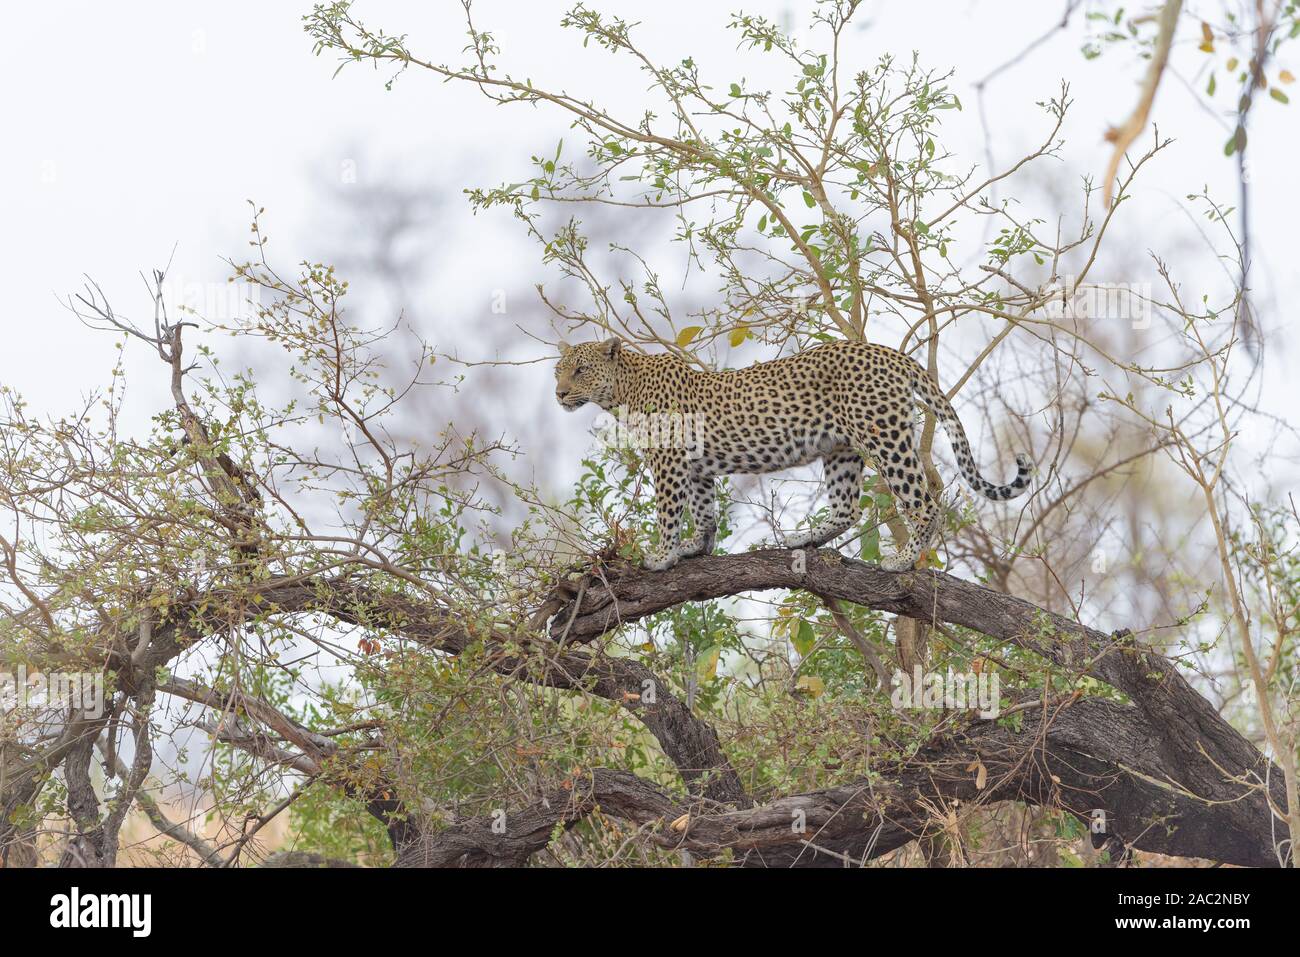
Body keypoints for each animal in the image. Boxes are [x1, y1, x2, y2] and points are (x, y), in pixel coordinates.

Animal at [554, 336, 1032, 572]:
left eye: (580, 369)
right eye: (558, 370)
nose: (558, 393)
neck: (621, 392)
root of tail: (889, 353)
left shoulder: (668, 461)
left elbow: (669, 511)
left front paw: (663, 555)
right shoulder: (695, 466)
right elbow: (704, 510)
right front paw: (695, 548)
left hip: (884, 439)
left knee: (924, 502)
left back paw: (902, 560)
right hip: (841, 447)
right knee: (848, 507)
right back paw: (805, 539)